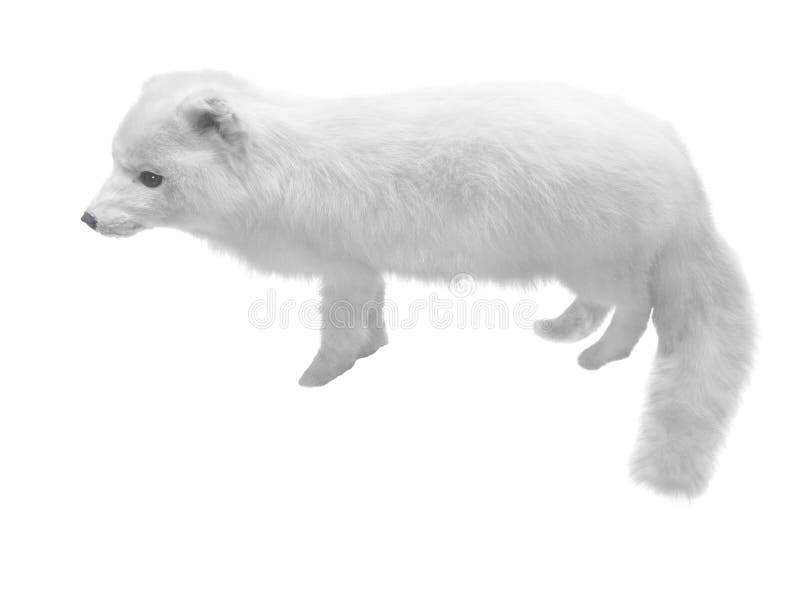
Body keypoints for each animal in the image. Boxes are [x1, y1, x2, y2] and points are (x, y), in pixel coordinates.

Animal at [83, 71, 754, 498]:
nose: (85, 219)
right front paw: (374, 351)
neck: (280, 171)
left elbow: (336, 335)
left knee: (638, 308)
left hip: (600, 260)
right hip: (586, 261)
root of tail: (679, 161)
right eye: (116, 163)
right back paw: (565, 330)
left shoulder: (341, 268)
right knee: (603, 303)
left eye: (150, 178)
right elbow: (371, 317)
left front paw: (321, 377)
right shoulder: (360, 266)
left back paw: (599, 355)